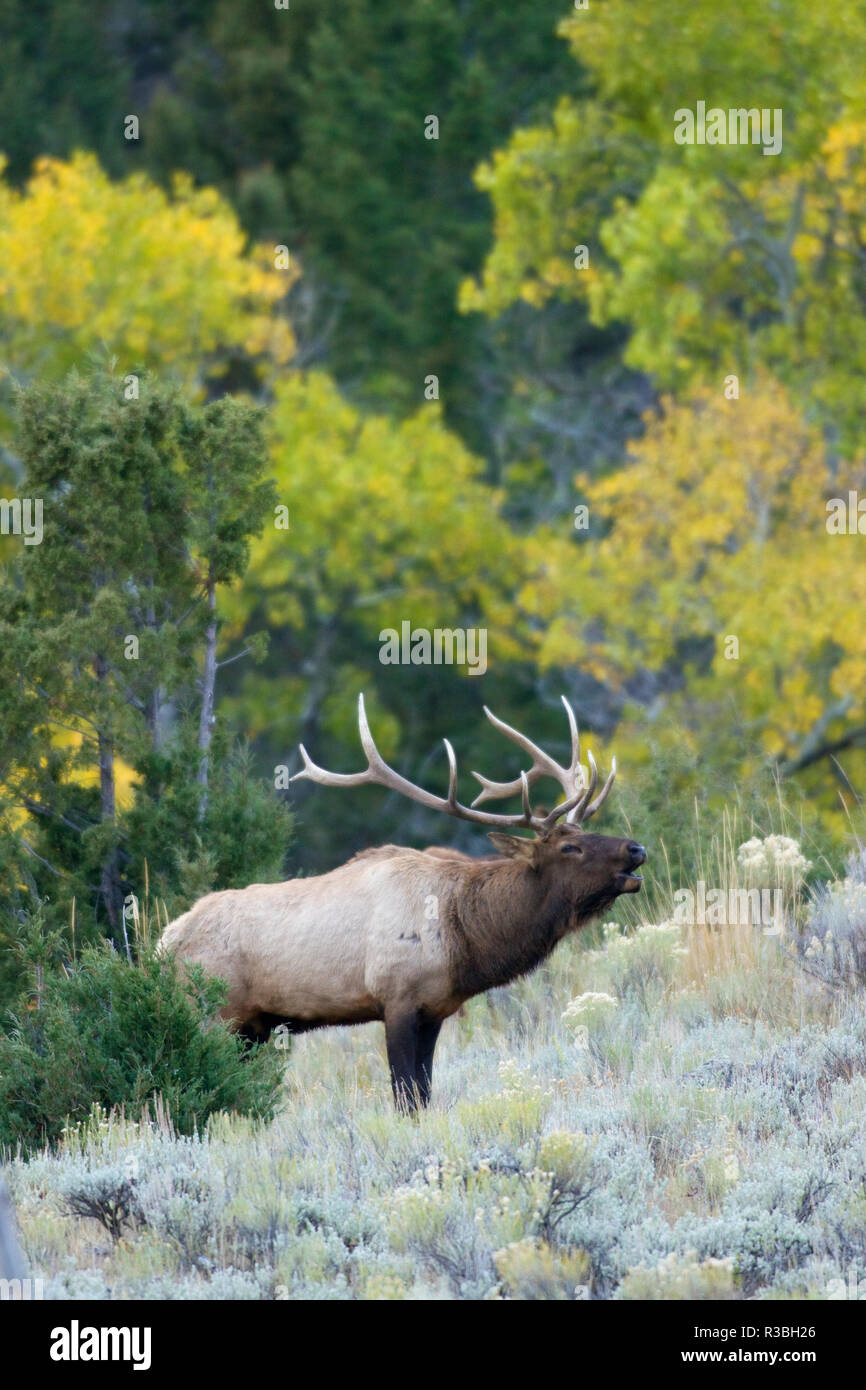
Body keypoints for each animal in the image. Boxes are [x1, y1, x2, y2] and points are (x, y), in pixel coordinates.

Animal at [159, 694, 646, 1111]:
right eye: (569, 848)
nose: (636, 848)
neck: (464, 939)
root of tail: (164, 941)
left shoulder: (436, 1010)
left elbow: (425, 1095)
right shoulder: (396, 998)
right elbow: (406, 1097)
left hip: (253, 1028)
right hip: (211, 1012)